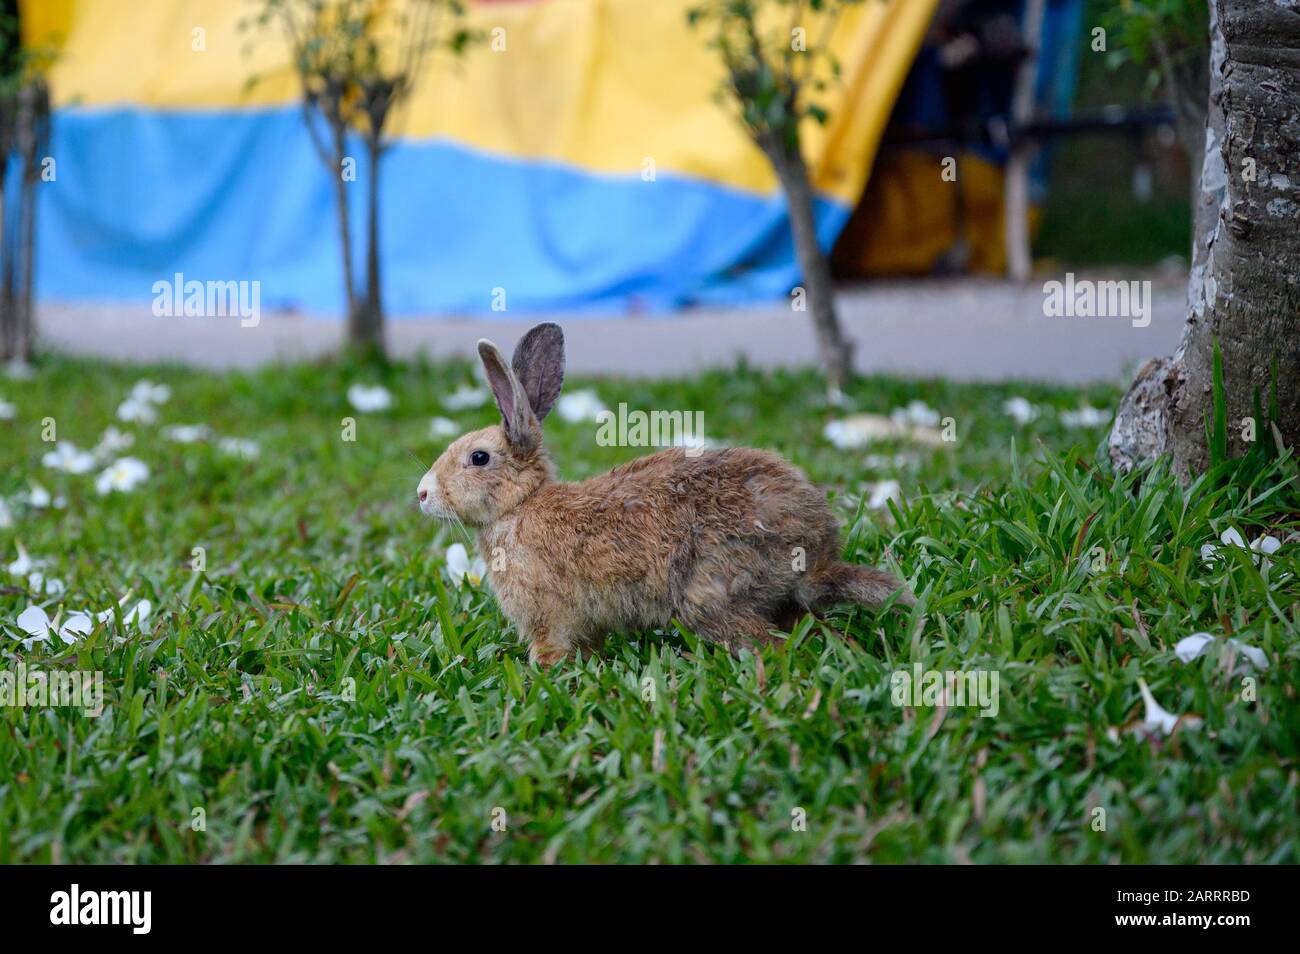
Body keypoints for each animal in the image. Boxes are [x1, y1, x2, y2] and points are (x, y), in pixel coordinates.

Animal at [417, 322, 914, 665]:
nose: (422, 494)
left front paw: (542, 671)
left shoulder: (548, 617)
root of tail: (814, 555)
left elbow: (553, 645)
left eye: (478, 458)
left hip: (708, 595)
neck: (518, 507)